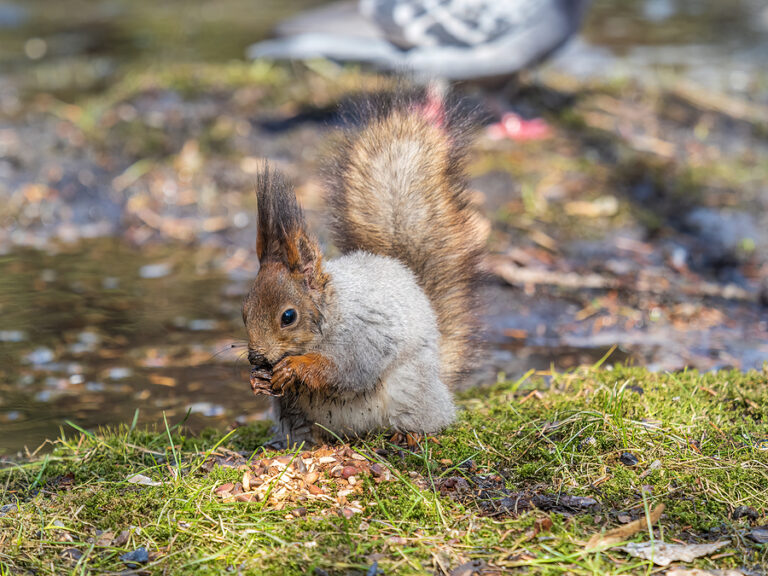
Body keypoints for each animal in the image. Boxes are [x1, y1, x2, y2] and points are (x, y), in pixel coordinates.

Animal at [242, 89, 485, 445]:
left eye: (288, 316)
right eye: (243, 312)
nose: (256, 358)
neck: (331, 313)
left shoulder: (365, 334)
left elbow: (348, 369)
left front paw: (298, 367)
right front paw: (256, 379)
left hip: (410, 392)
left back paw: (410, 436)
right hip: (295, 415)